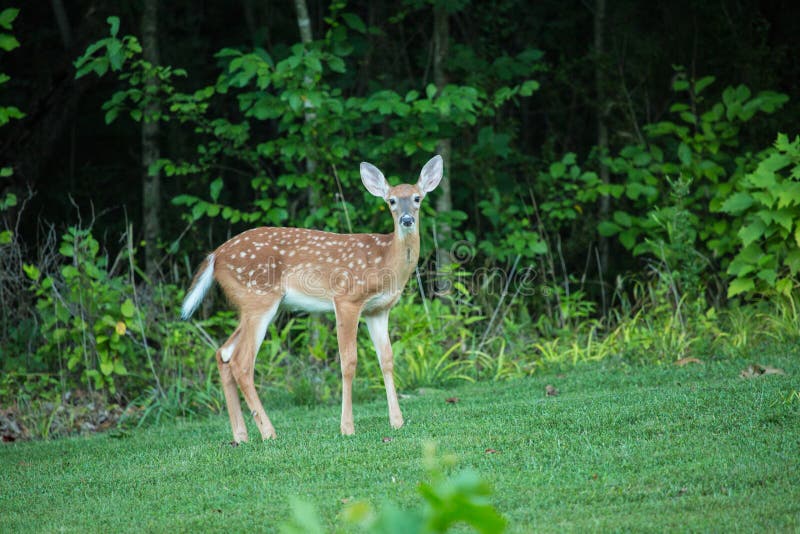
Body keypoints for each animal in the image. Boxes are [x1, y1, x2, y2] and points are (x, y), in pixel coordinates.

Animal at [180, 155, 443, 442]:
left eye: (417, 198)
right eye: (392, 201)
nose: (406, 220)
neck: (385, 262)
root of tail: (215, 256)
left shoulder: (379, 309)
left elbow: (386, 359)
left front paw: (397, 422)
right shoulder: (347, 298)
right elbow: (348, 362)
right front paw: (347, 427)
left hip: (249, 305)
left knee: (223, 353)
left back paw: (241, 436)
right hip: (258, 298)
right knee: (241, 361)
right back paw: (268, 432)